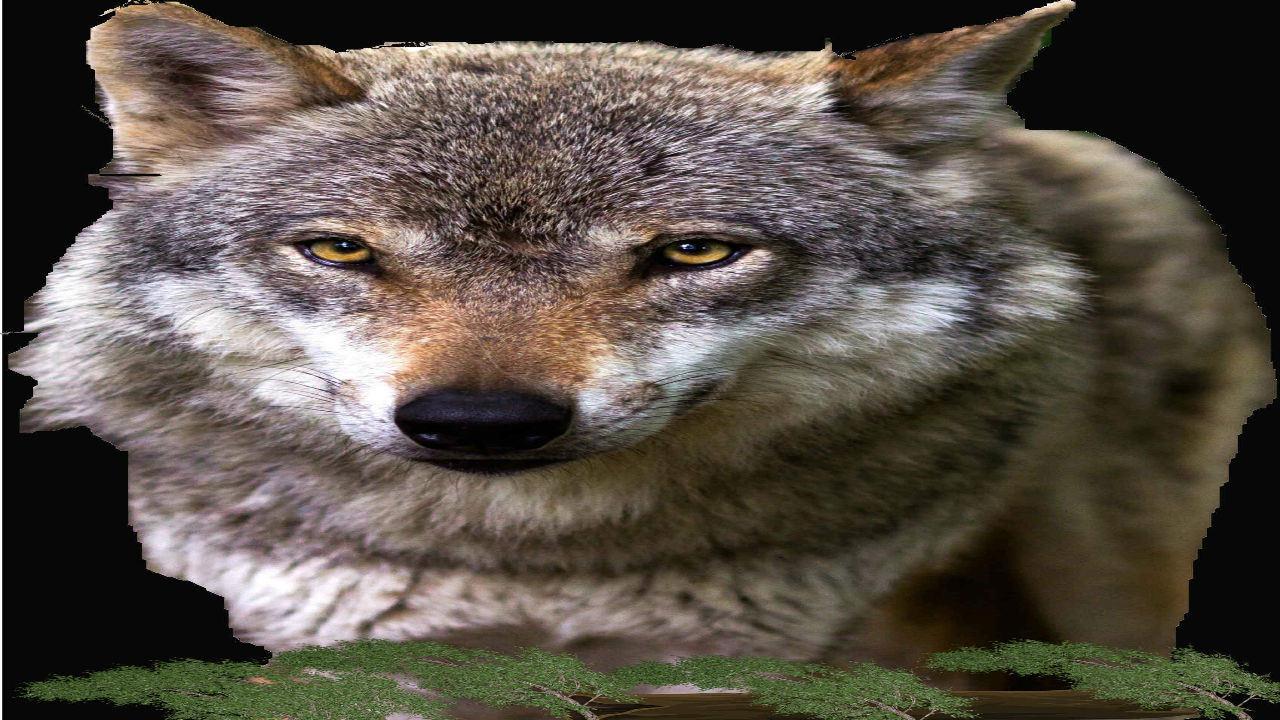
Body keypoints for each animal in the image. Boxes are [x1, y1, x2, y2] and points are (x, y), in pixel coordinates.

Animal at [13, 0, 1272, 713]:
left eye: (692, 251)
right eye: (339, 249)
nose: (479, 423)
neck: (533, 563)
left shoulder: (721, 669)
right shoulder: (368, 660)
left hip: (1103, 598)